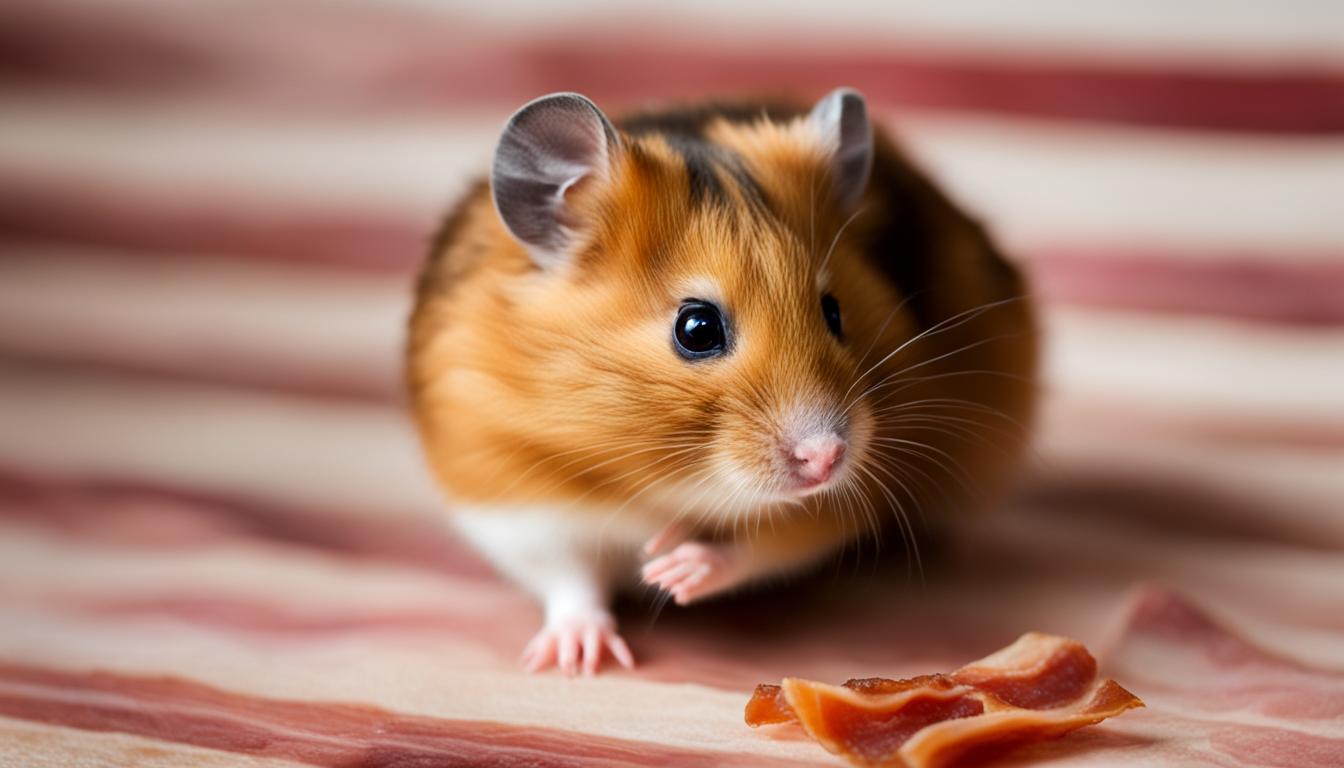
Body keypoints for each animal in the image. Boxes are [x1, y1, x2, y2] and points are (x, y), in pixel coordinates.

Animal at [407, 88, 1037, 675]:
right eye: (697, 328)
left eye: (834, 311)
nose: (826, 458)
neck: (663, 479)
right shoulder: (513, 499)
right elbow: (570, 580)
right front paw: (577, 658)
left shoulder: (829, 507)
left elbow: (760, 544)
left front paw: (671, 569)